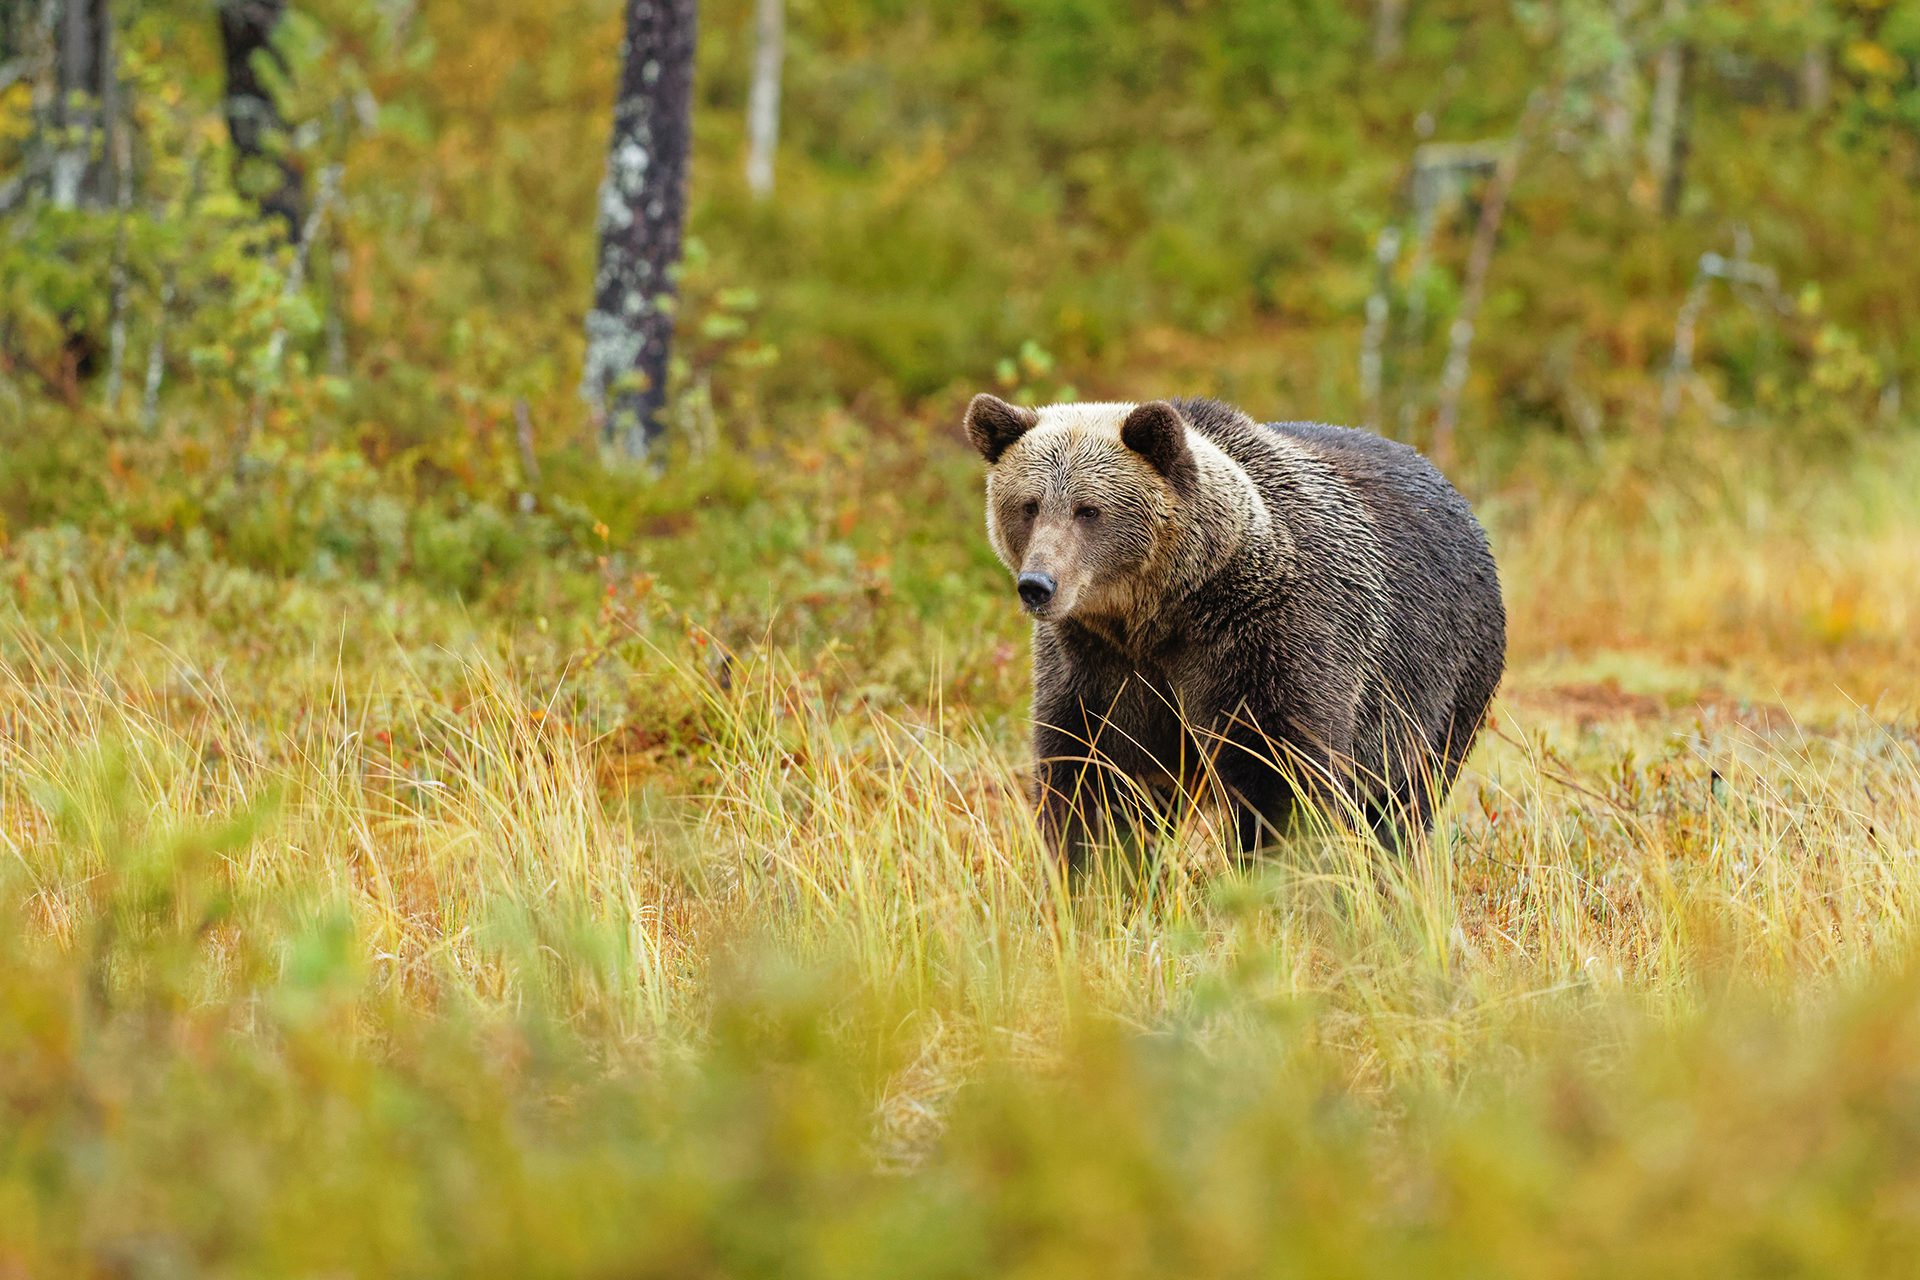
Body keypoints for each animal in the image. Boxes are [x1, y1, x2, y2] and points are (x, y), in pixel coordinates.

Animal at [965, 393, 1507, 862]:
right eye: (1029, 505)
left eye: (1088, 510)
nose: (1038, 585)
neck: (1163, 613)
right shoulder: (1096, 663)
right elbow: (1094, 776)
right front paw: (1096, 875)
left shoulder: (1270, 638)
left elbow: (1277, 772)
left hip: (1439, 682)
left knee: (1401, 801)